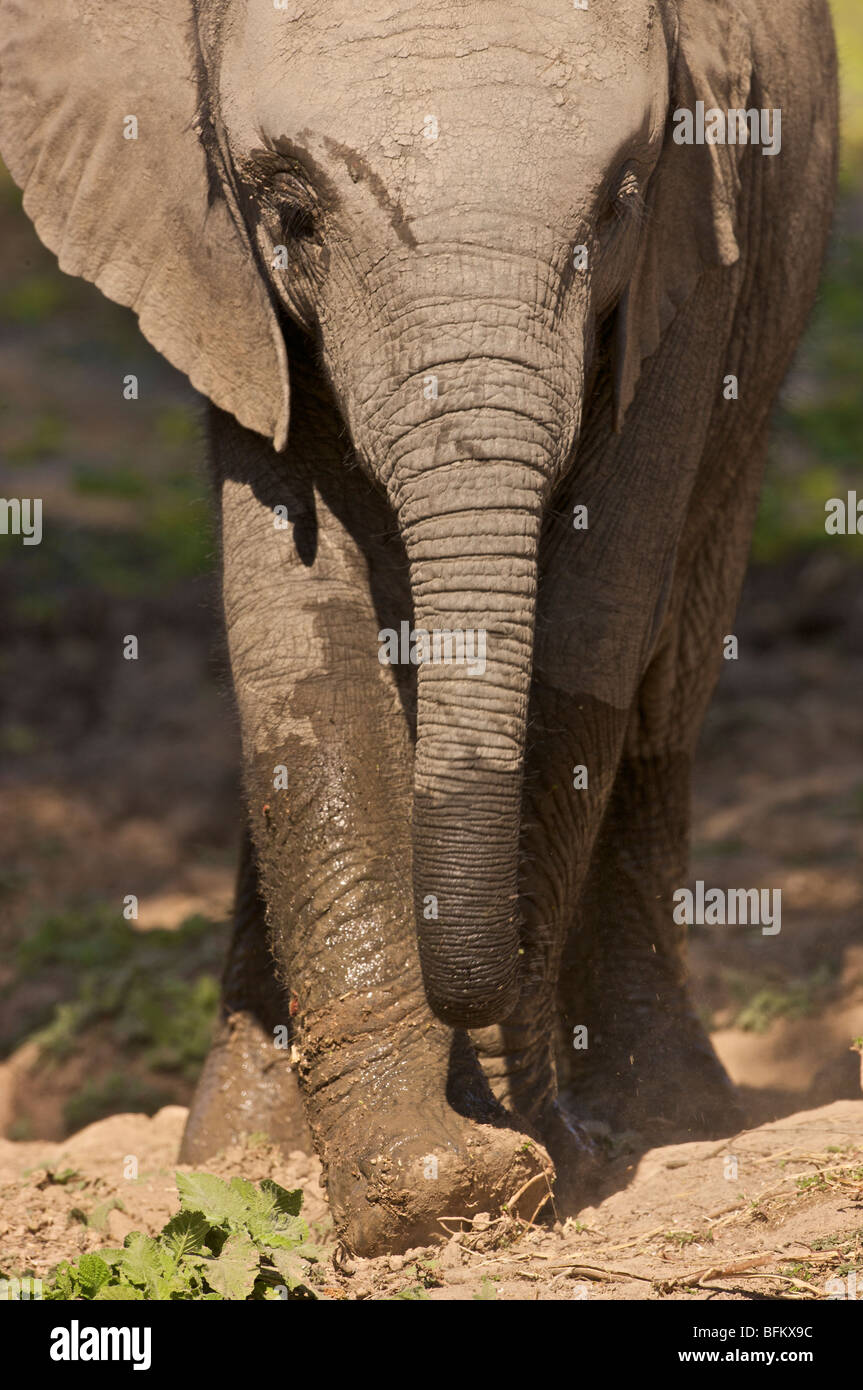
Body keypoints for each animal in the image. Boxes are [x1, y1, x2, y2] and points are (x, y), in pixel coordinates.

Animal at [0, 0, 838, 1254]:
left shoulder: (694, 252)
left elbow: (589, 628)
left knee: (670, 669)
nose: (506, 1095)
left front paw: (526, 1158)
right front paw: (434, 1181)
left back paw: (670, 1121)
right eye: (289, 213)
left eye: (618, 203)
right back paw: (239, 1150)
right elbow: (311, 642)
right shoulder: (224, 283)